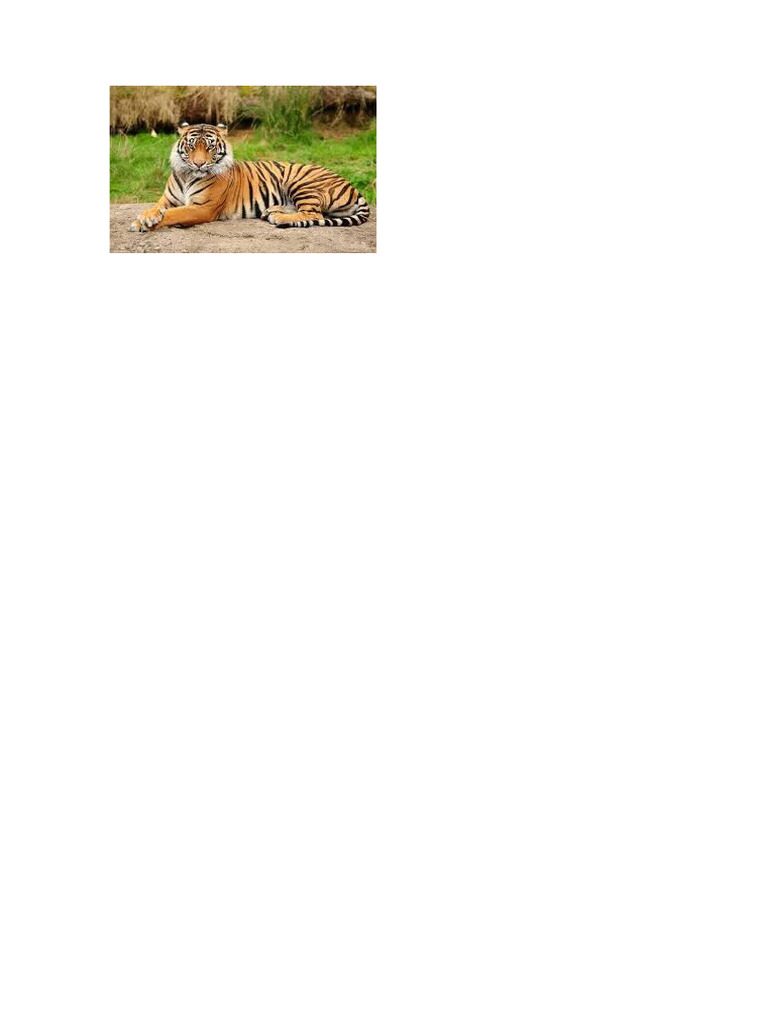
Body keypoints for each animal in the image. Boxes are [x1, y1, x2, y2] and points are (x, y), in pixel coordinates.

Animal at [129, 122, 370, 232]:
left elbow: (173, 214)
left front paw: (142, 224)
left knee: (313, 213)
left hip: (301, 182)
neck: (188, 175)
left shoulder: (203, 207)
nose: (199, 163)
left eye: (210, 147)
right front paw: (144, 217)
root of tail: (351, 184)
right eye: (191, 146)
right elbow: (155, 208)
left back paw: (278, 218)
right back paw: (272, 211)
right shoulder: (167, 199)